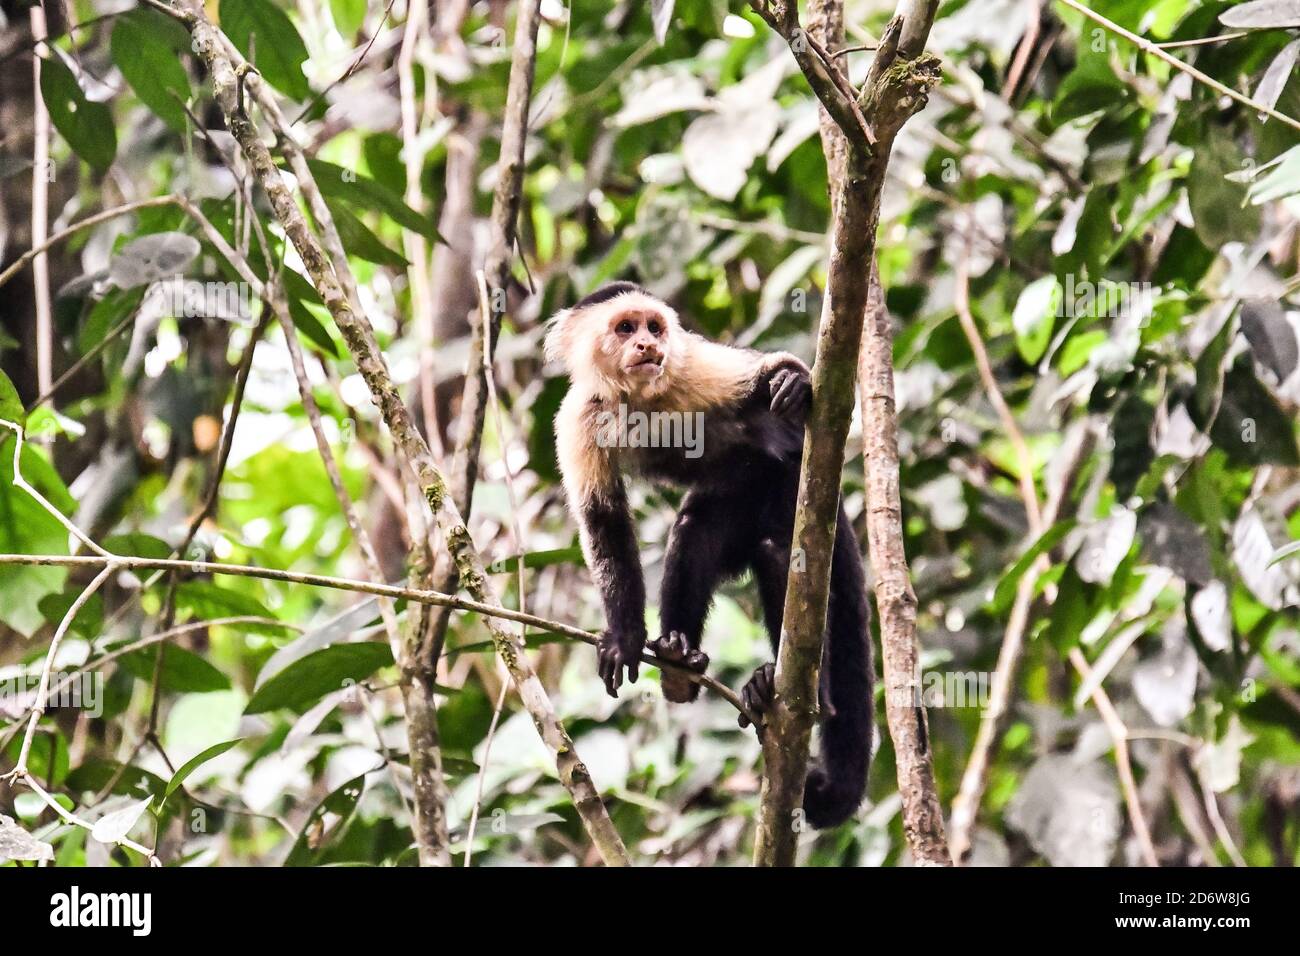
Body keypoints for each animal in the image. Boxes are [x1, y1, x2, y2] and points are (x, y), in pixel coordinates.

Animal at [546, 281, 874, 829]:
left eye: (653, 328)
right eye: (625, 328)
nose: (647, 345)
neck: (639, 398)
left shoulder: (690, 366)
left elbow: (762, 379)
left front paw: (791, 380)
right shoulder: (579, 418)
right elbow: (603, 523)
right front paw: (625, 636)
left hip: (790, 487)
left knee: (787, 559)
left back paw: (807, 696)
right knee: (694, 530)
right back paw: (680, 664)